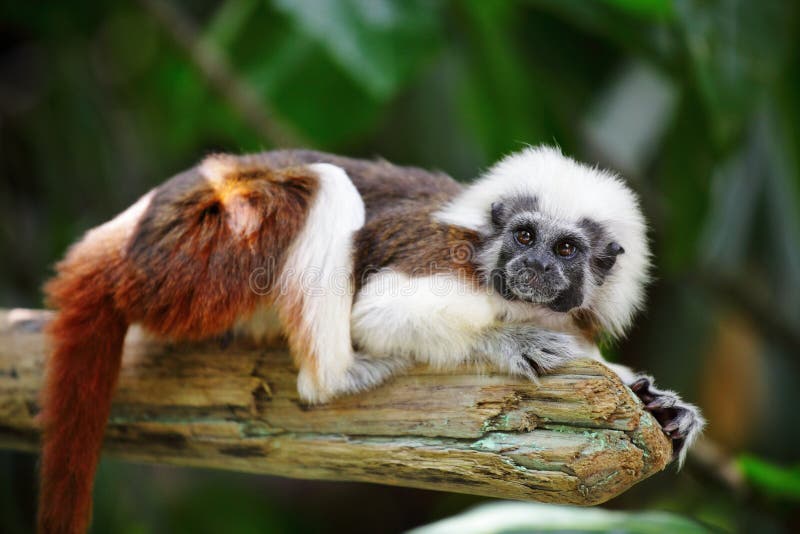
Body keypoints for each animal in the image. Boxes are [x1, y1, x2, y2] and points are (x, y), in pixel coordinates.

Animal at [38, 146, 704, 534]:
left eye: (566, 249)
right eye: (523, 236)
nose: (536, 266)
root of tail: (126, 239)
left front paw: (657, 403)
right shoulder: (445, 262)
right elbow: (381, 313)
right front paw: (510, 343)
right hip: (199, 253)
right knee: (319, 186)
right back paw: (337, 376)